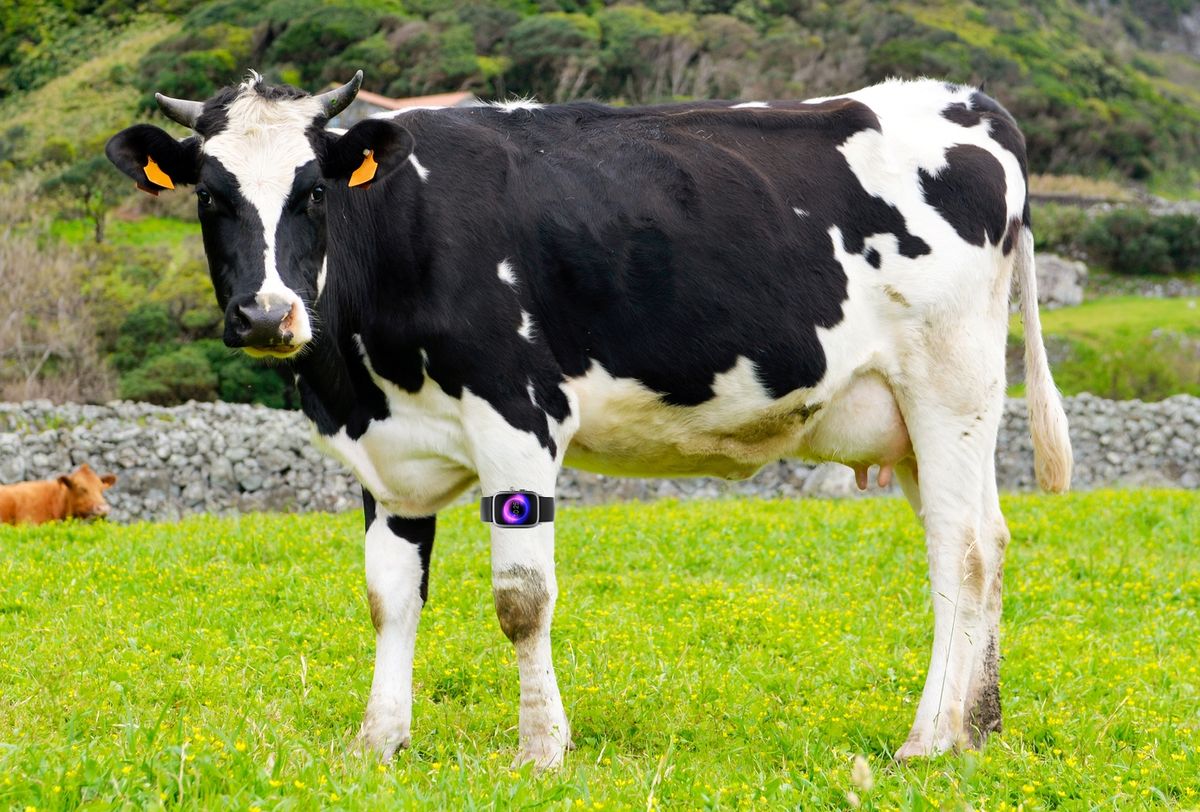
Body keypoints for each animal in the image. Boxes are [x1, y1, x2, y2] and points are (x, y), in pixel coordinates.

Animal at [105, 71, 1073, 767]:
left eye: (312, 192)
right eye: (210, 195)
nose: (267, 315)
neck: (357, 372)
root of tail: (970, 102)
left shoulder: (516, 418)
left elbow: (521, 600)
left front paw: (540, 749)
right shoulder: (387, 457)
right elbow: (389, 599)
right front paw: (378, 744)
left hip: (951, 385)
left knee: (960, 551)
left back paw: (928, 740)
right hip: (911, 423)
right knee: (988, 537)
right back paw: (979, 727)